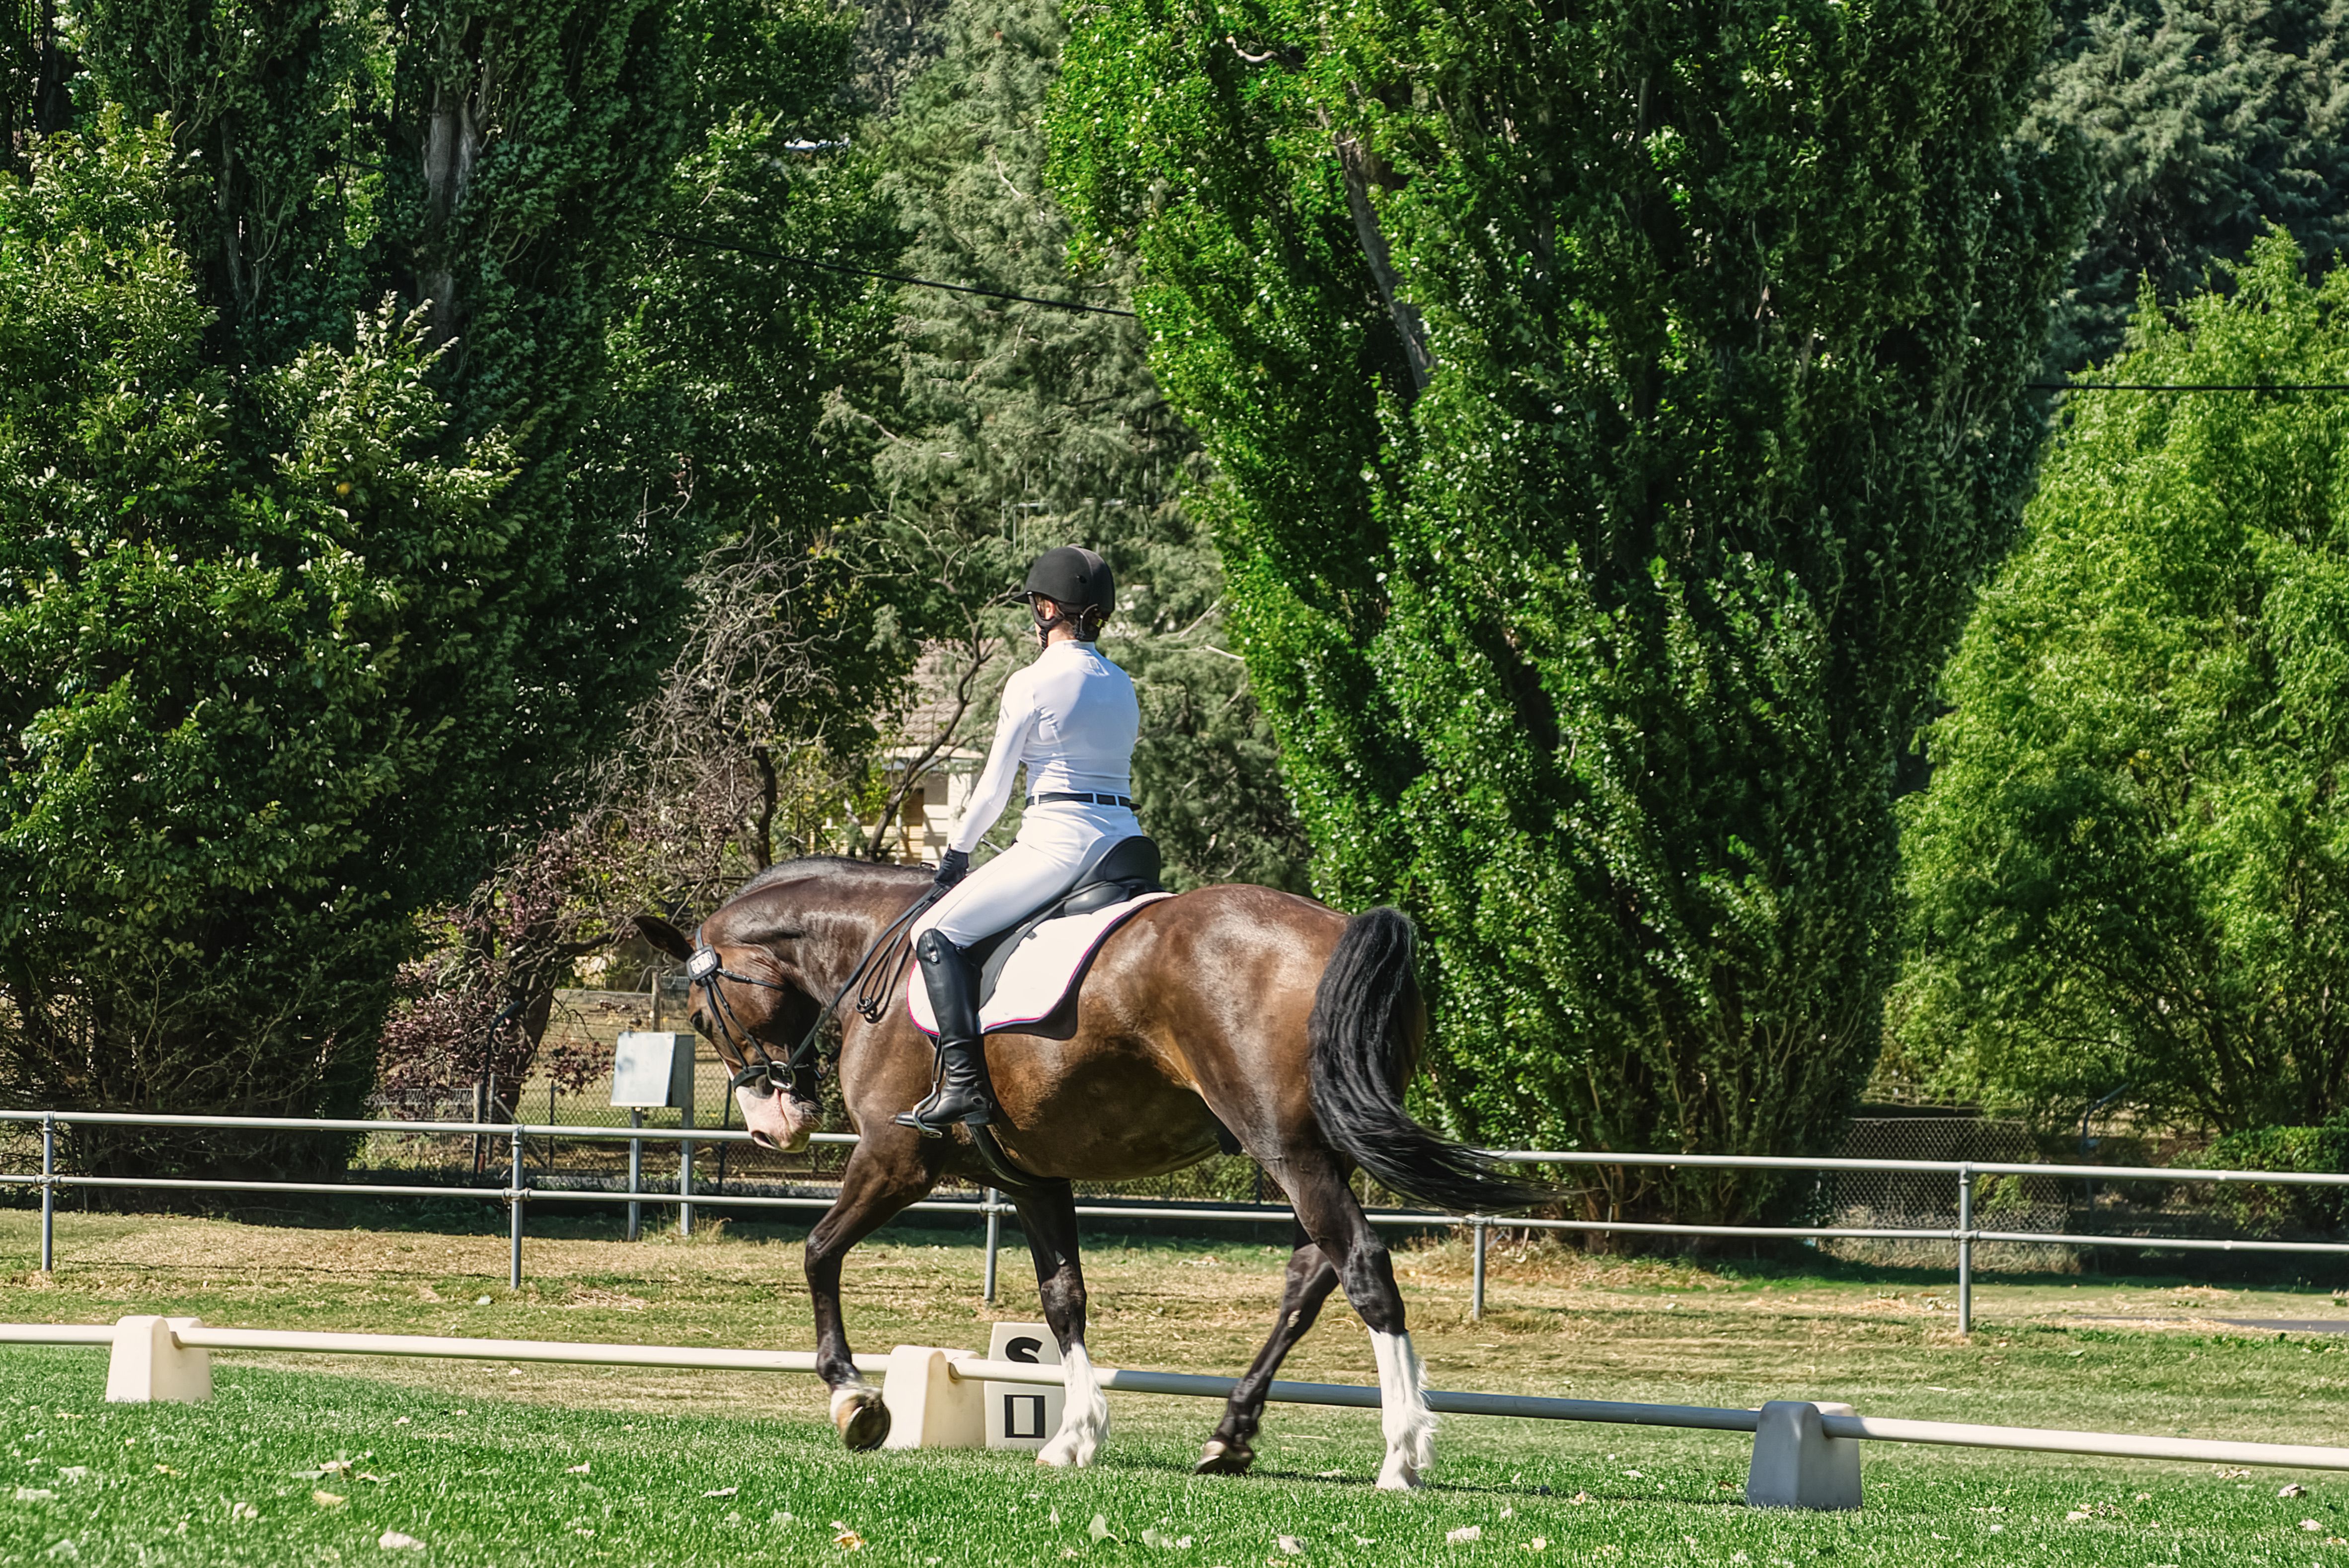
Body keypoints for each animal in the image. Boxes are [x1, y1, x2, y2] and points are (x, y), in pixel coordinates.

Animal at [634, 855, 1548, 1489]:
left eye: (697, 1016)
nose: (773, 1126)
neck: (874, 951)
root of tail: (1340, 926)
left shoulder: (894, 1160)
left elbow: (818, 1251)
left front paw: (852, 1398)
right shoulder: (1032, 1179)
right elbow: (1061, 1297)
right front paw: (1072, 1434)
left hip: (1286, 1152)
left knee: (1360, 1267)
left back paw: (1402, 1454)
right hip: (1311, 1153)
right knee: (1308, 1278)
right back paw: (1229, 1434)